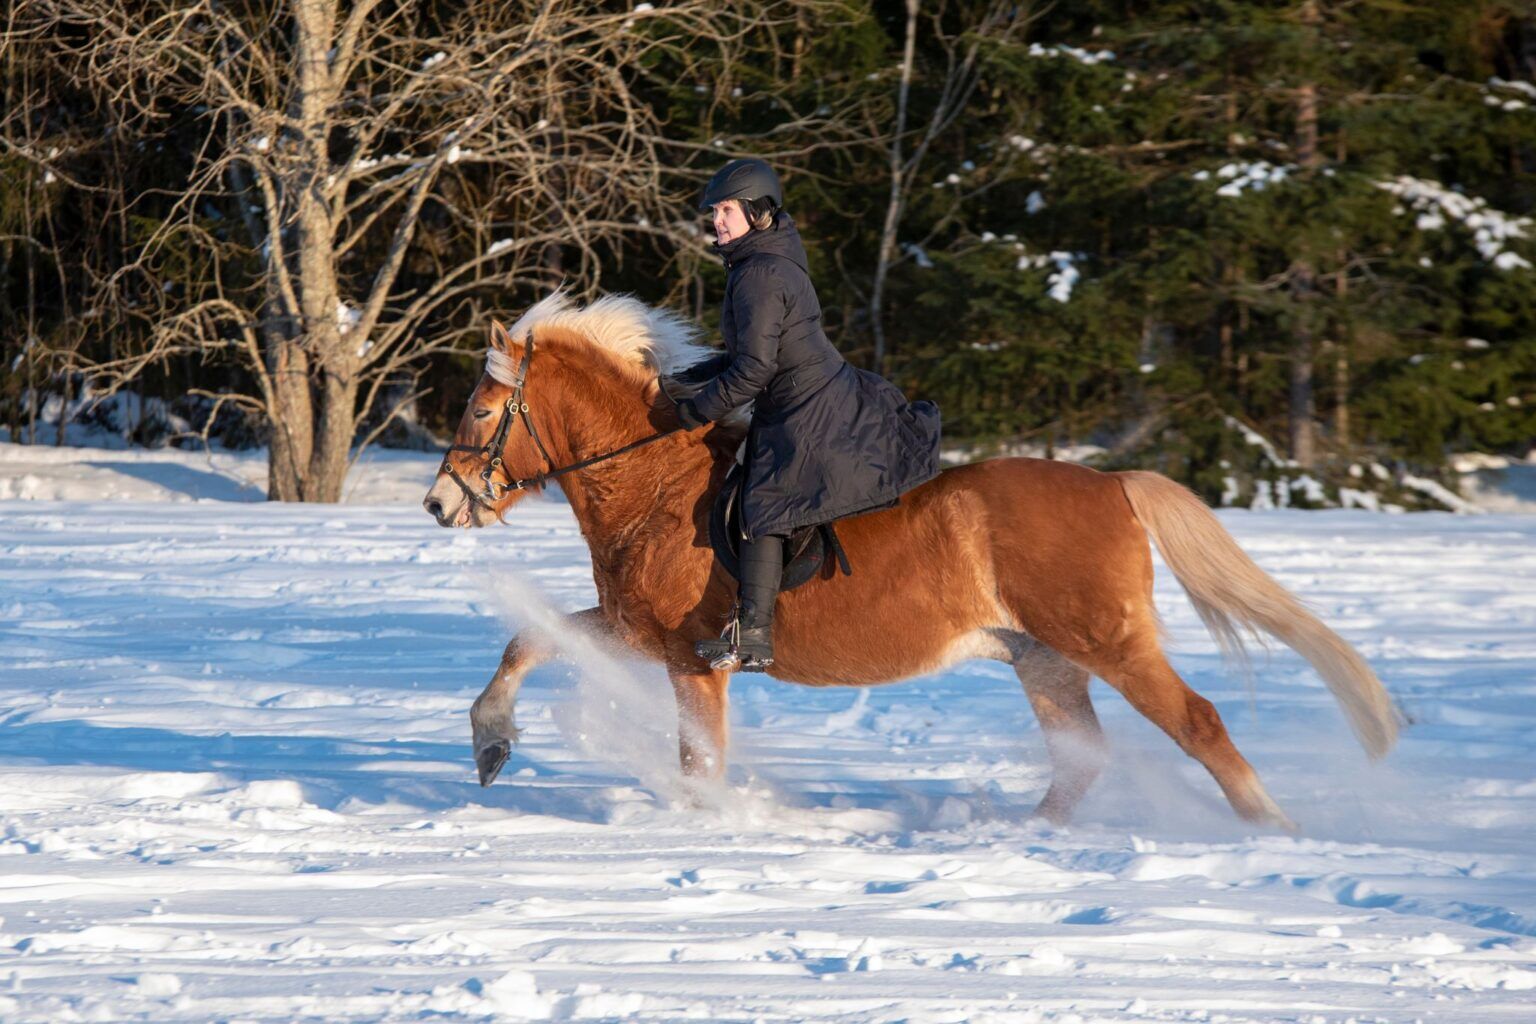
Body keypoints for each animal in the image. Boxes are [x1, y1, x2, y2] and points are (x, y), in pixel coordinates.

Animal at [421, 291, 1399, 831]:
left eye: (482, 410)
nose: (439, 504)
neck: (654, 484)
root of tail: (1111, 482)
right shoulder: (638, 633)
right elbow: (526, 643)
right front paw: (490, 746)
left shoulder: (693, 659)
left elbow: (700, 758)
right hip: (1045, 659)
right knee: (1083, 756)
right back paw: (1016, 839)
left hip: (1108, 643)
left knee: (1197, 723)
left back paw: (1271, 831)